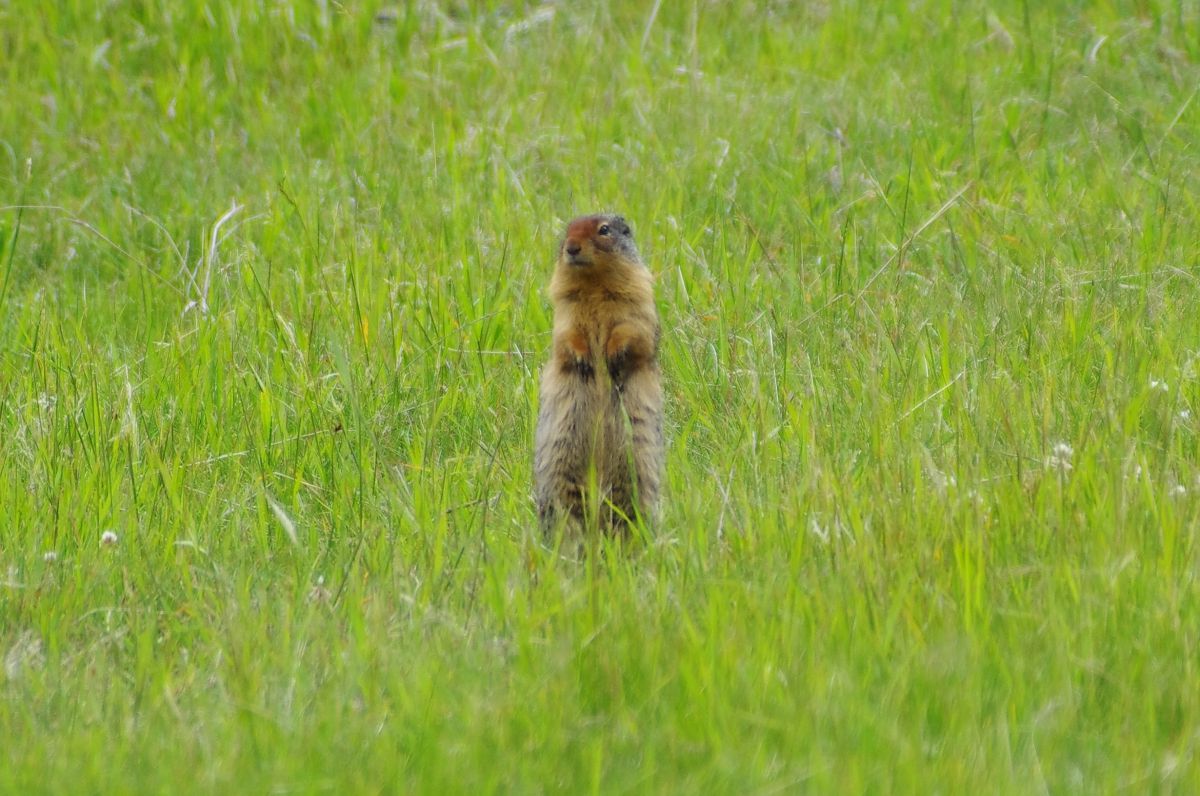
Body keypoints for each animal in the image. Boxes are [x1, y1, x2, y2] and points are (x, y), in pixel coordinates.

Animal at [533, 213, 664, 533]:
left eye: (604, 230)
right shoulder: (565, 312)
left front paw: (613, 355)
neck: (593, 283)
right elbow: (567, 336)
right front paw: (583, 358)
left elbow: (633, 330)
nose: (571, 247)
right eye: (567, 230)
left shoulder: (639, 301)